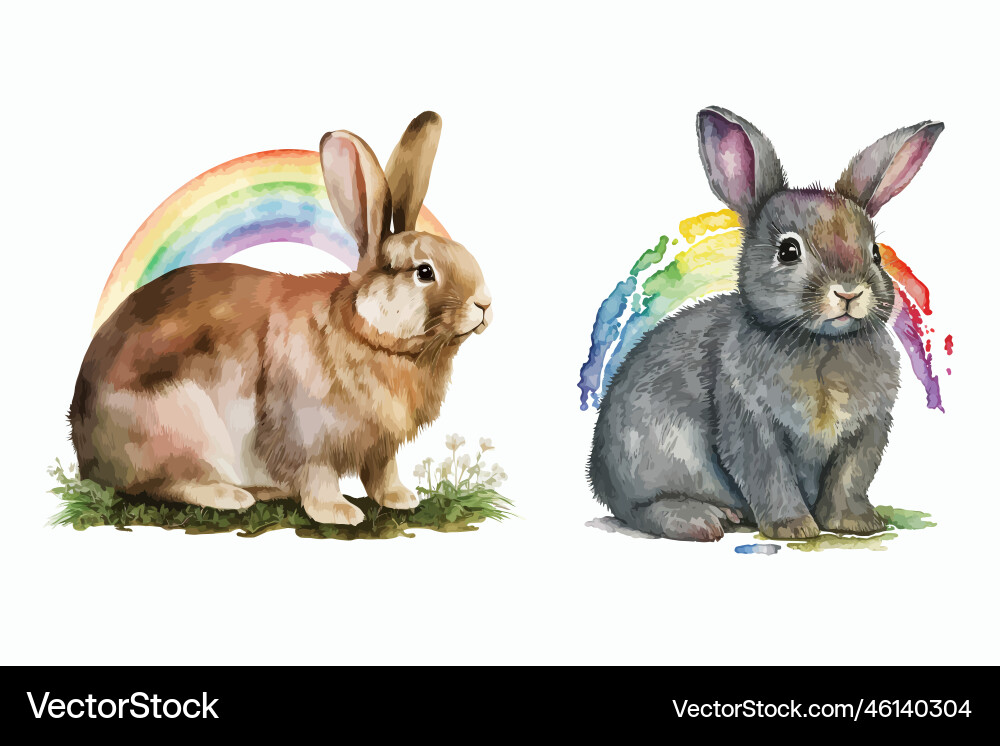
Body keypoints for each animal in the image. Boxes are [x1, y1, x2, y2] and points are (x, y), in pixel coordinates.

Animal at [70, 111, 493, 525]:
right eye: (424, 272)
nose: (485, 304)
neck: (368, 334)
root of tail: (85, 448)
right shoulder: (308, 435)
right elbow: (318, 476)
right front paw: (339, 512)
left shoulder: (380, 448)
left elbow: (382, 473)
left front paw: (401, 499)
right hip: (180, 428)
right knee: (166, 484)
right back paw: (232, 496)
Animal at [589, 106, 943, 541]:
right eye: (788, 251)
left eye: (875, 253)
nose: (849, 292)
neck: (820, 341)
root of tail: (597, 473)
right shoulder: (749, 421)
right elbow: (769, 477)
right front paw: (793, 528)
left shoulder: (867, 429)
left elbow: (850, 479)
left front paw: (857, 523)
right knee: (641, 509)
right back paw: (701, 519)